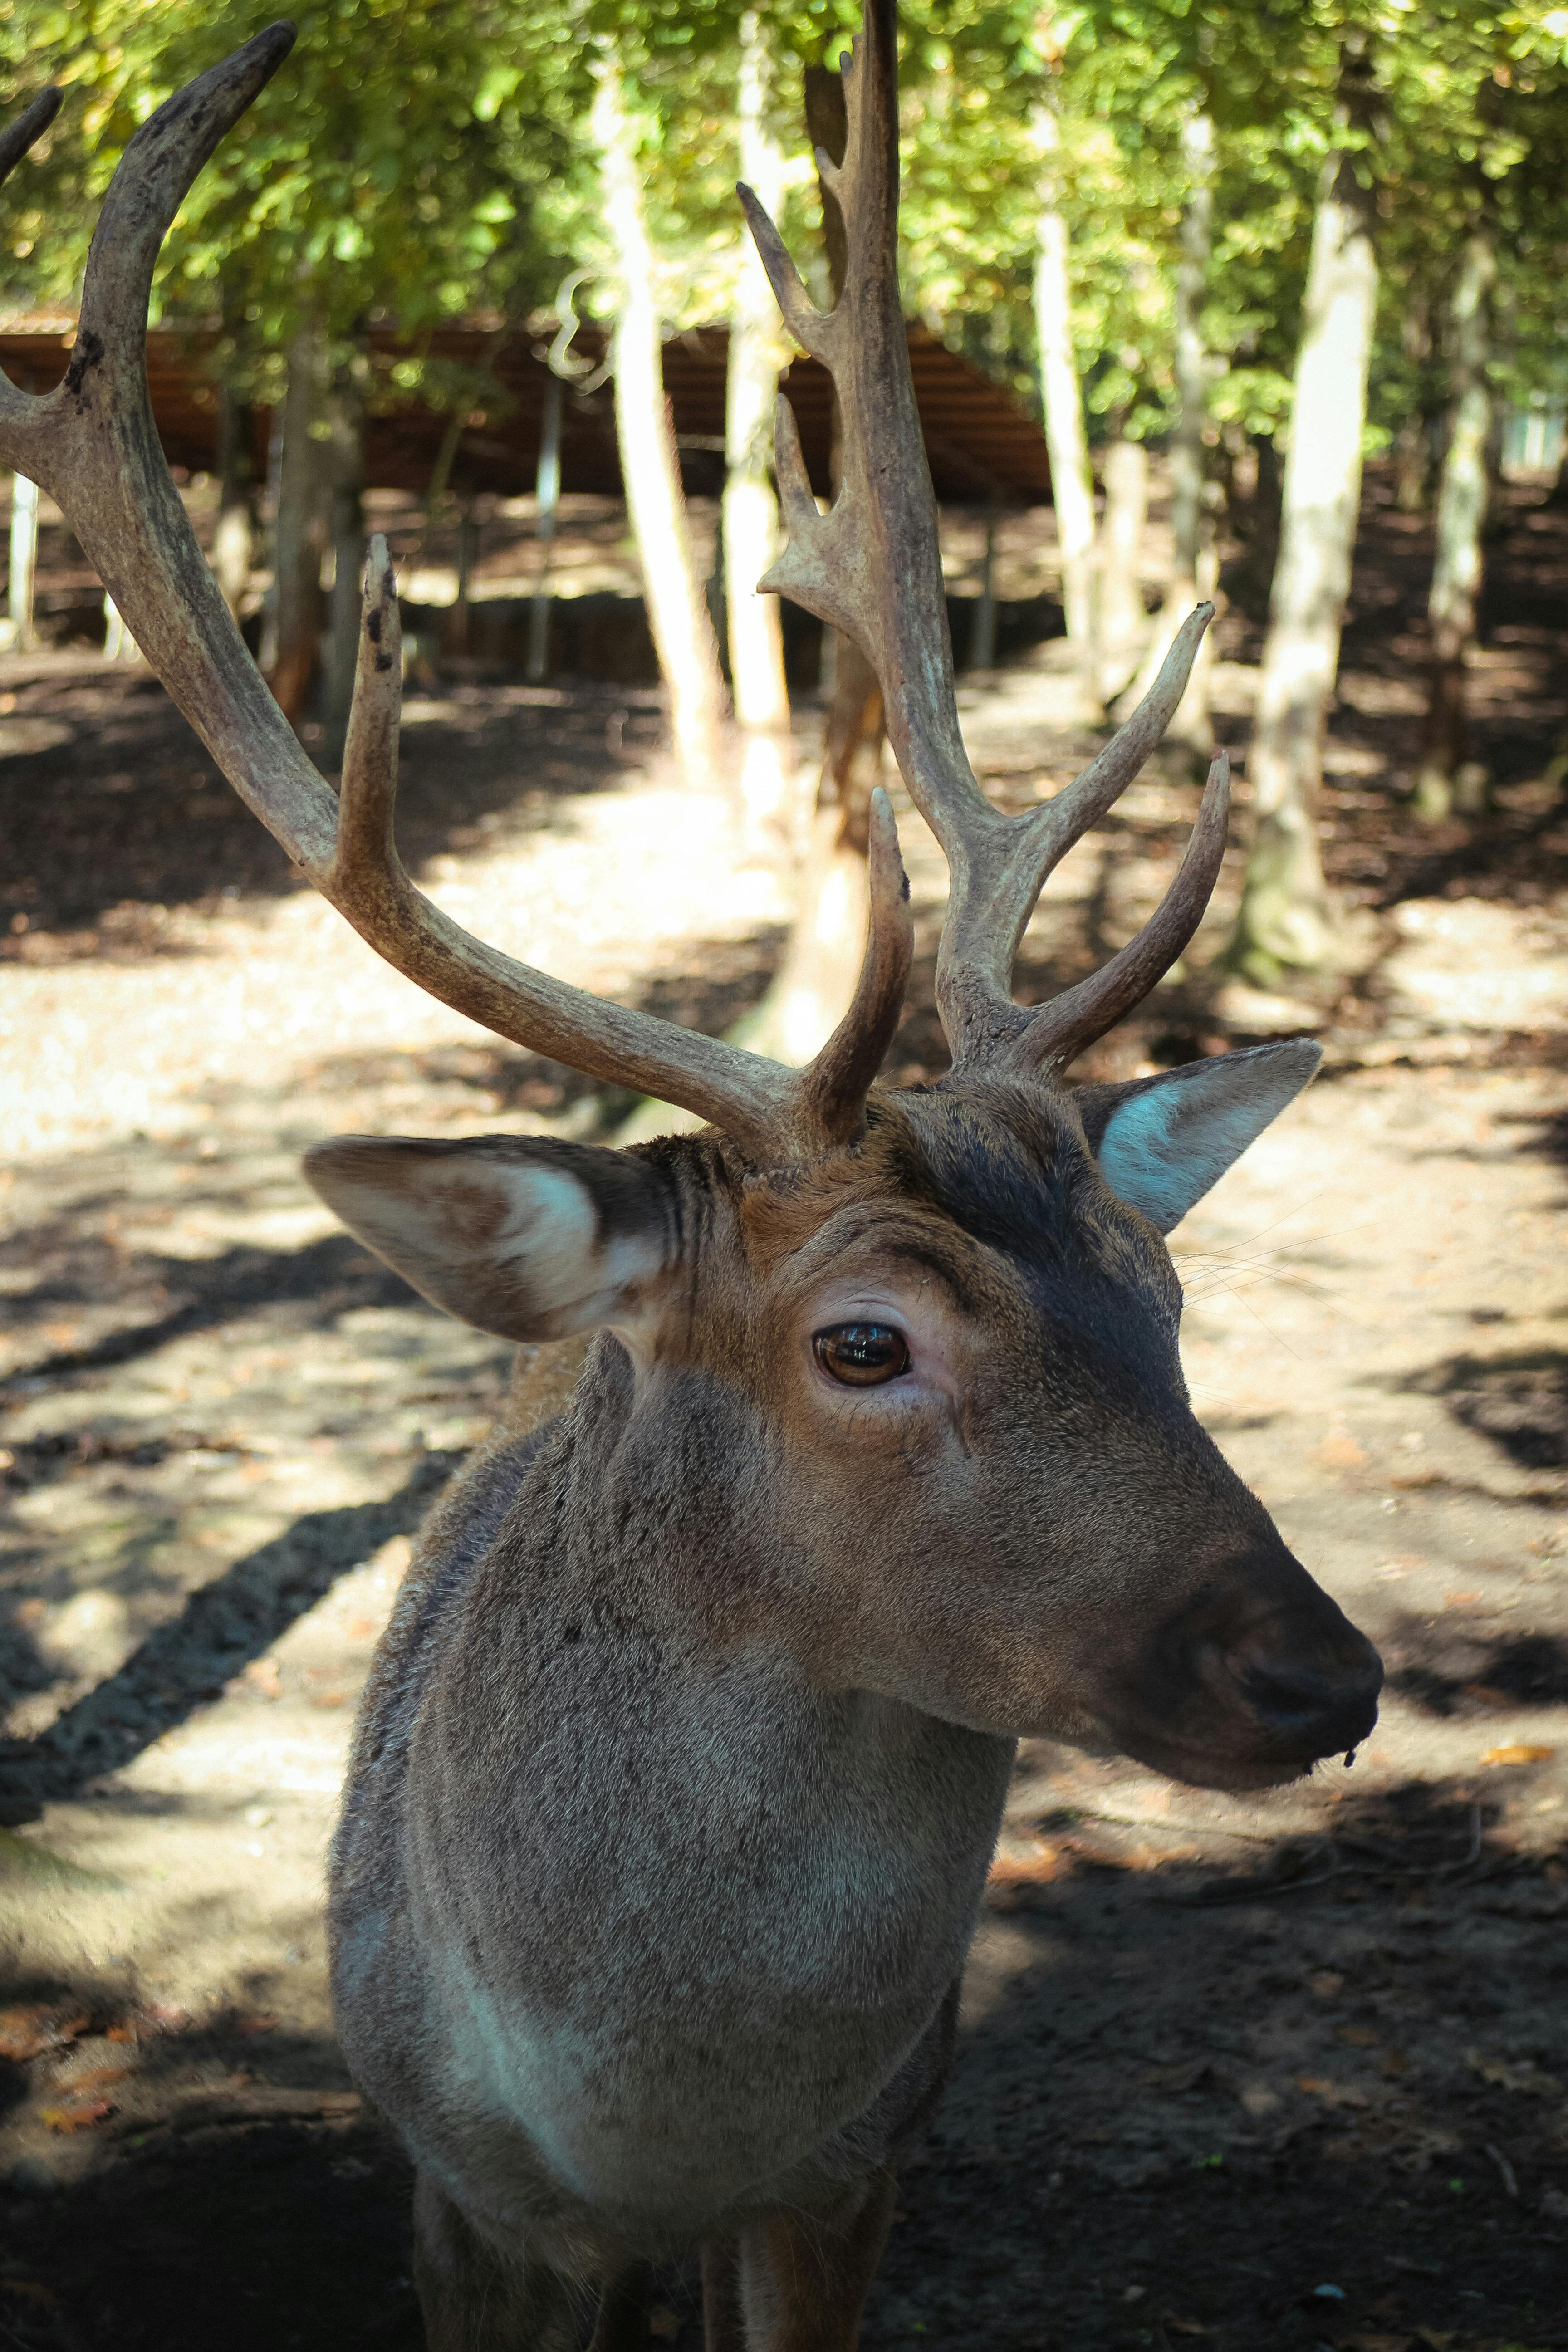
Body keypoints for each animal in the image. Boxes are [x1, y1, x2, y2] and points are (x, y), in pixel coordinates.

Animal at [0, 9, 1382, 2345]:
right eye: (864, 1339)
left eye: (1169, 1300)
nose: (1322, 1673)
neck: (656, 2127)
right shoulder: (456, 2190)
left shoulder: (859, 2168)